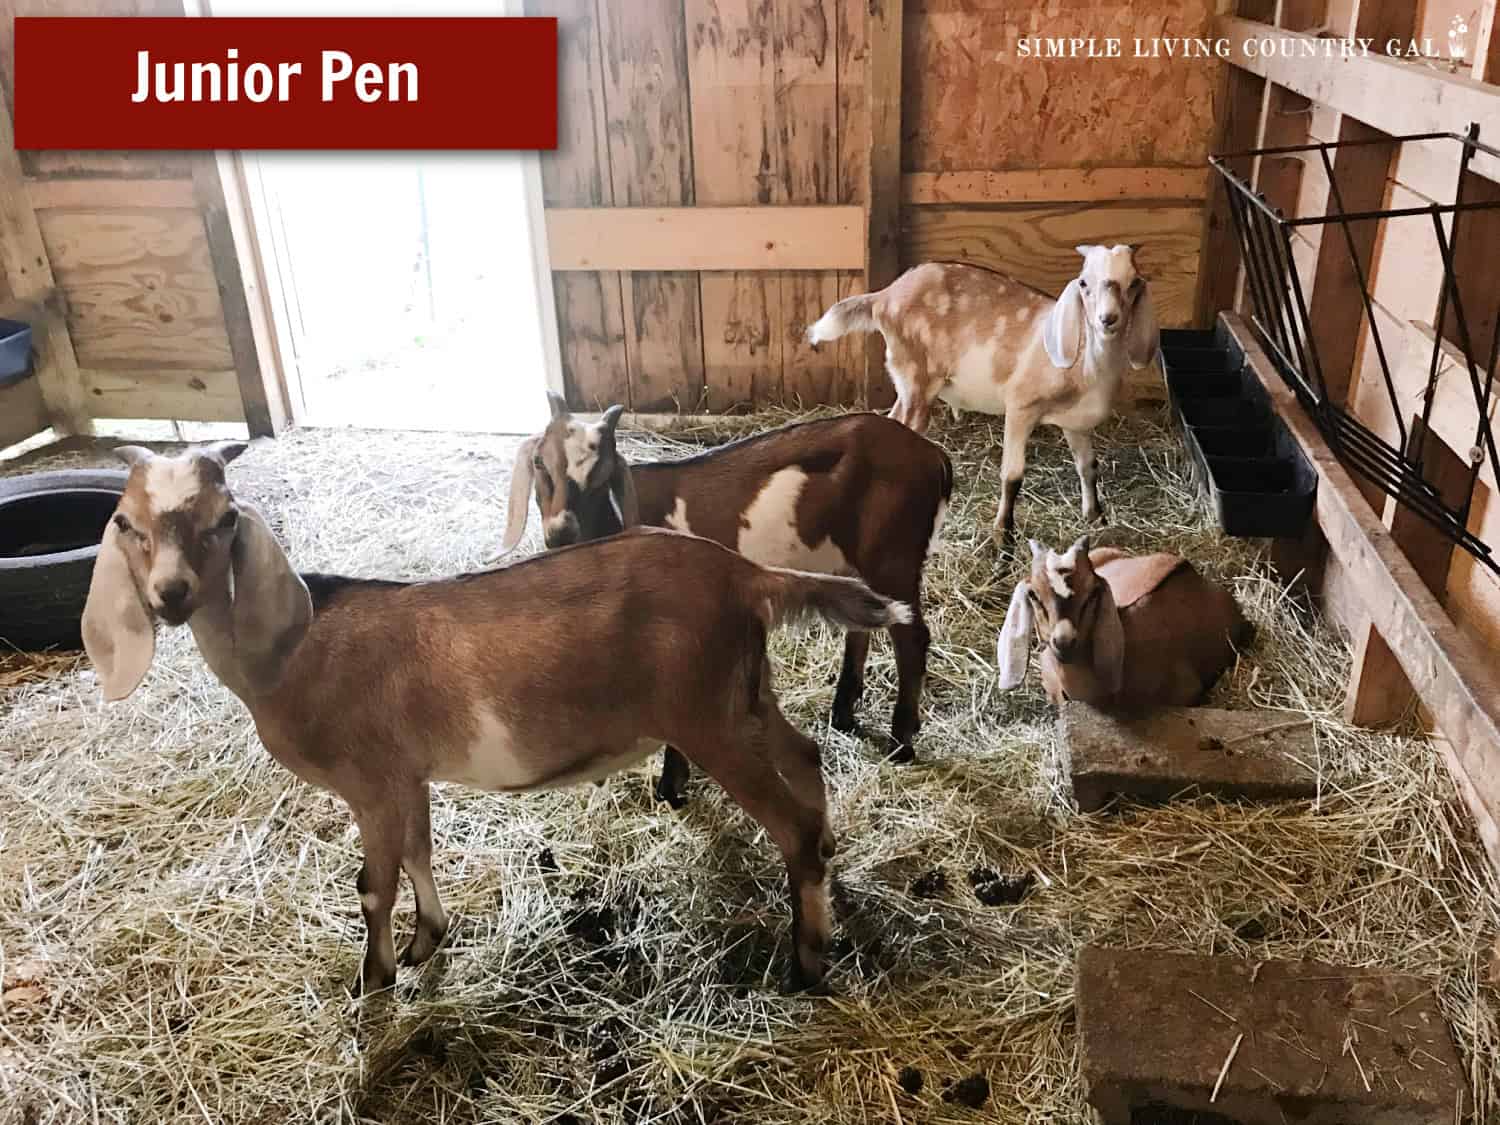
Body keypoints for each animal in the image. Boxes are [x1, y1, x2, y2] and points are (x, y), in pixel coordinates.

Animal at [81, 442, 911, 995]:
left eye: (224, 519)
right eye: (125, 521)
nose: (172, 594)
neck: (293, 649)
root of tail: (747, 574)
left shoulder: (370, 779)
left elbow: (373, 883)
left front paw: (375, 980)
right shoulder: (406, 778)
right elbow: (419, 852)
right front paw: (427, 941)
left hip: (709, 717)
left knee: (788, 821)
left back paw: (808, 957)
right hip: (746, 692)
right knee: (805, 757)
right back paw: (829, 863)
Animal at [501, 396, 954, 803]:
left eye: (601, 473)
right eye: (539, 462)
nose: (560, 532)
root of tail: (931, 454)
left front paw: (671, 786)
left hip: (893, 555)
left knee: (912, 638)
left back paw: (901, 741)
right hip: (852, 562)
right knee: (862, 626)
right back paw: (842, 714)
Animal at [805, 245, 1160, 543]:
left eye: (1134, 283)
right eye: (1084, 283)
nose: (1107, 320)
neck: (1086, 364)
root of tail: (883, 297)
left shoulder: (1075, 423)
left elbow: (1088, 466)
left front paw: (1096, 517)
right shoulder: (1021, 405)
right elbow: (1013, 475)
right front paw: (1004, 531)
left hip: (906, 381)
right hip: (916, 374)